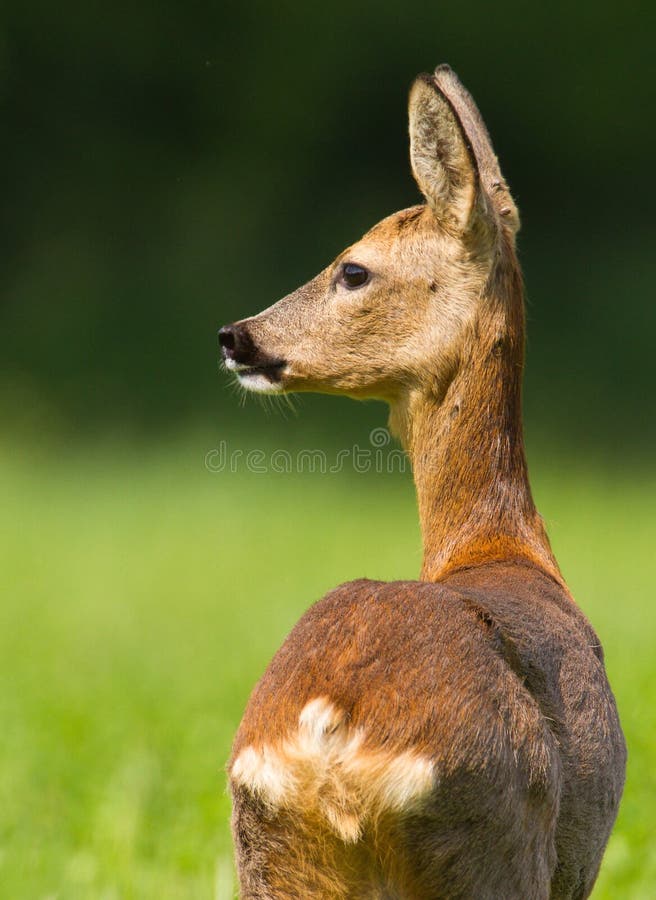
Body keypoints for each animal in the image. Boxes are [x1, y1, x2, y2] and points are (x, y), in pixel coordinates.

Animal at [218, 65, 626, 899]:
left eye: (353, 268)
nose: (235, 336)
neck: (504, 548)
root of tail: (329, 730)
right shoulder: (578, 860)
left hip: (268, 852)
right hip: (495, 837)